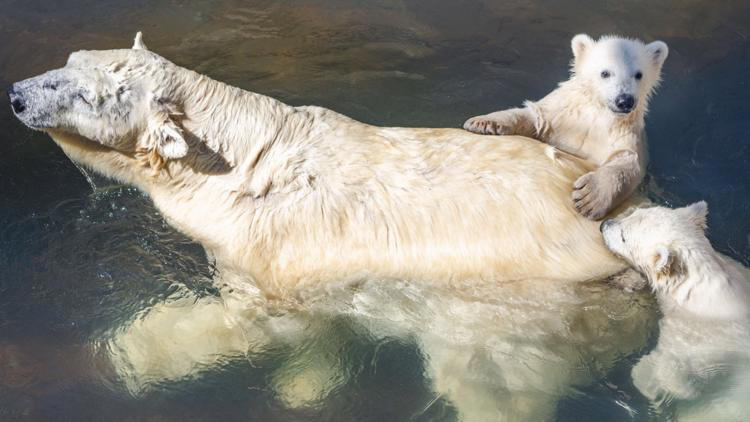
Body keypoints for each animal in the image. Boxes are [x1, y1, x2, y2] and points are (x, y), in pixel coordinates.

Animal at [464, 34, 669, 221]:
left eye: (639, 74)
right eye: (605, 73)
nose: (625, 100)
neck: (597, 115)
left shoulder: (623, 133)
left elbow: (626, 160)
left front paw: (588, 199)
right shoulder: (564, 117)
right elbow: (536, 118)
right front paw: (483, 122)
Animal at [601, 202, 750, 421]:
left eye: (624, 237)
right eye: (632, 214)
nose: (604, 224)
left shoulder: (692, 335)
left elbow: (673, 375)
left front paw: (645, 378)